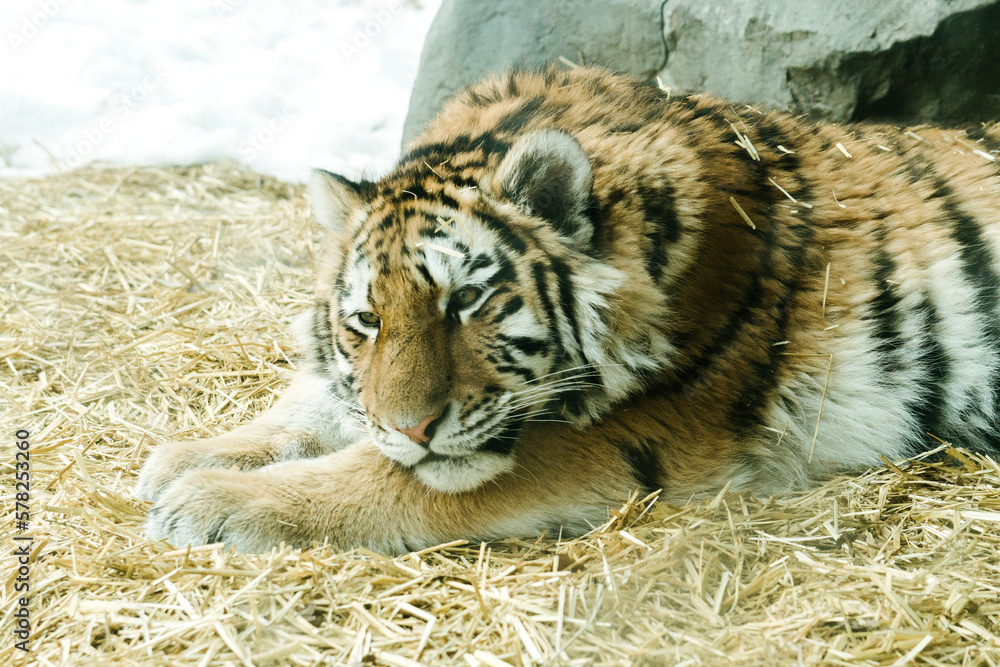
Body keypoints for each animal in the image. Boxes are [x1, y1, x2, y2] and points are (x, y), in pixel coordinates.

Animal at [137, 65, 1000, 554]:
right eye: (367, 321)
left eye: (467, 301)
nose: (413, 429)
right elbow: (318, 404)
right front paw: (186, 456)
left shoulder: (637, 428)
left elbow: (389, 477)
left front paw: (214, 500)